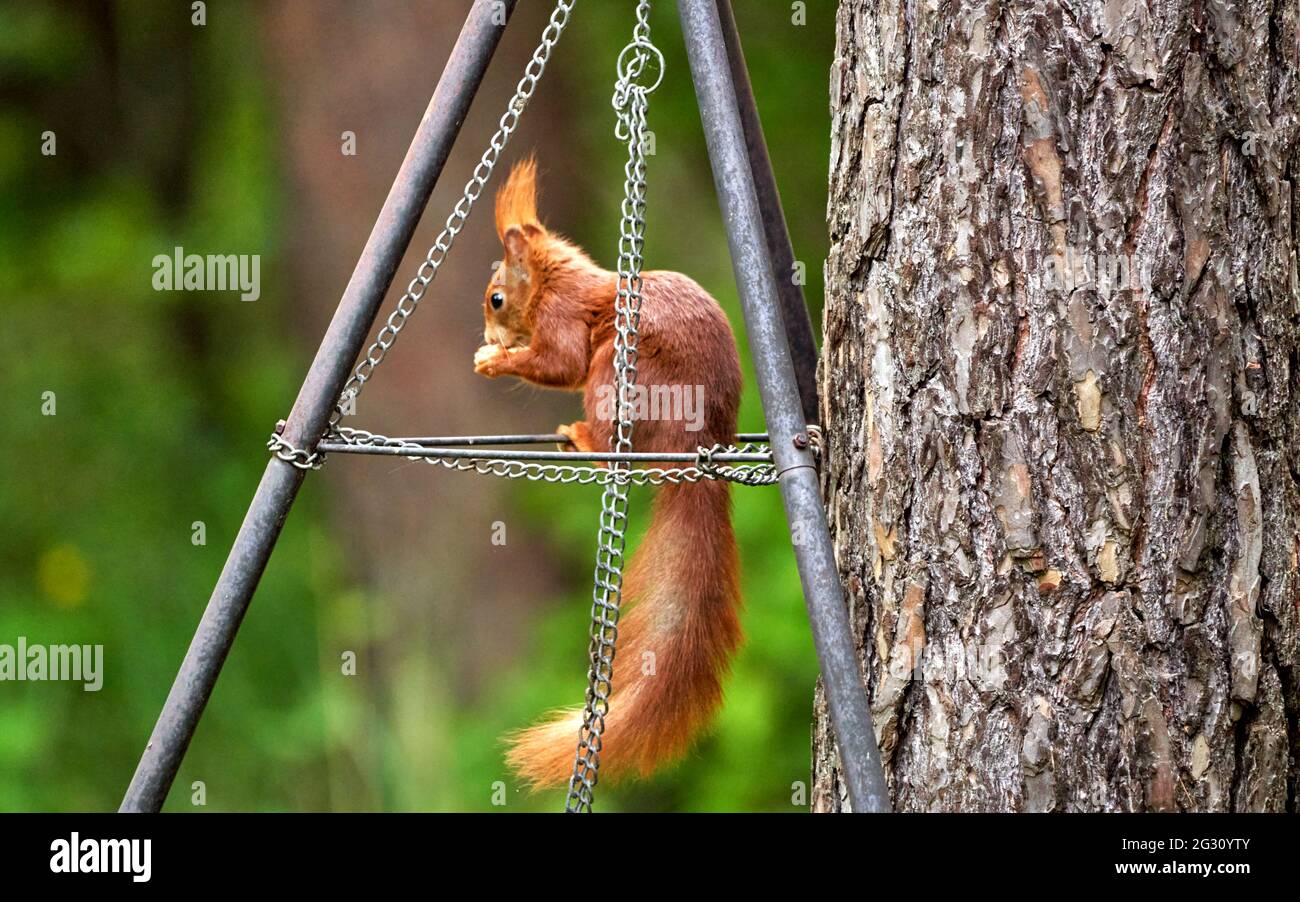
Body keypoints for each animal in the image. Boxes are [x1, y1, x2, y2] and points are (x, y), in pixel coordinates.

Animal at [473, 157, 745, 788]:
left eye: (496, 298)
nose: (491, 334)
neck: (555, 282)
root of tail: (702, 443)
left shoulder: (564, 319)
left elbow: (560, 362)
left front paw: (497, 360)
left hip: (620, 374)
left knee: (600, 421)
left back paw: (581, 437)